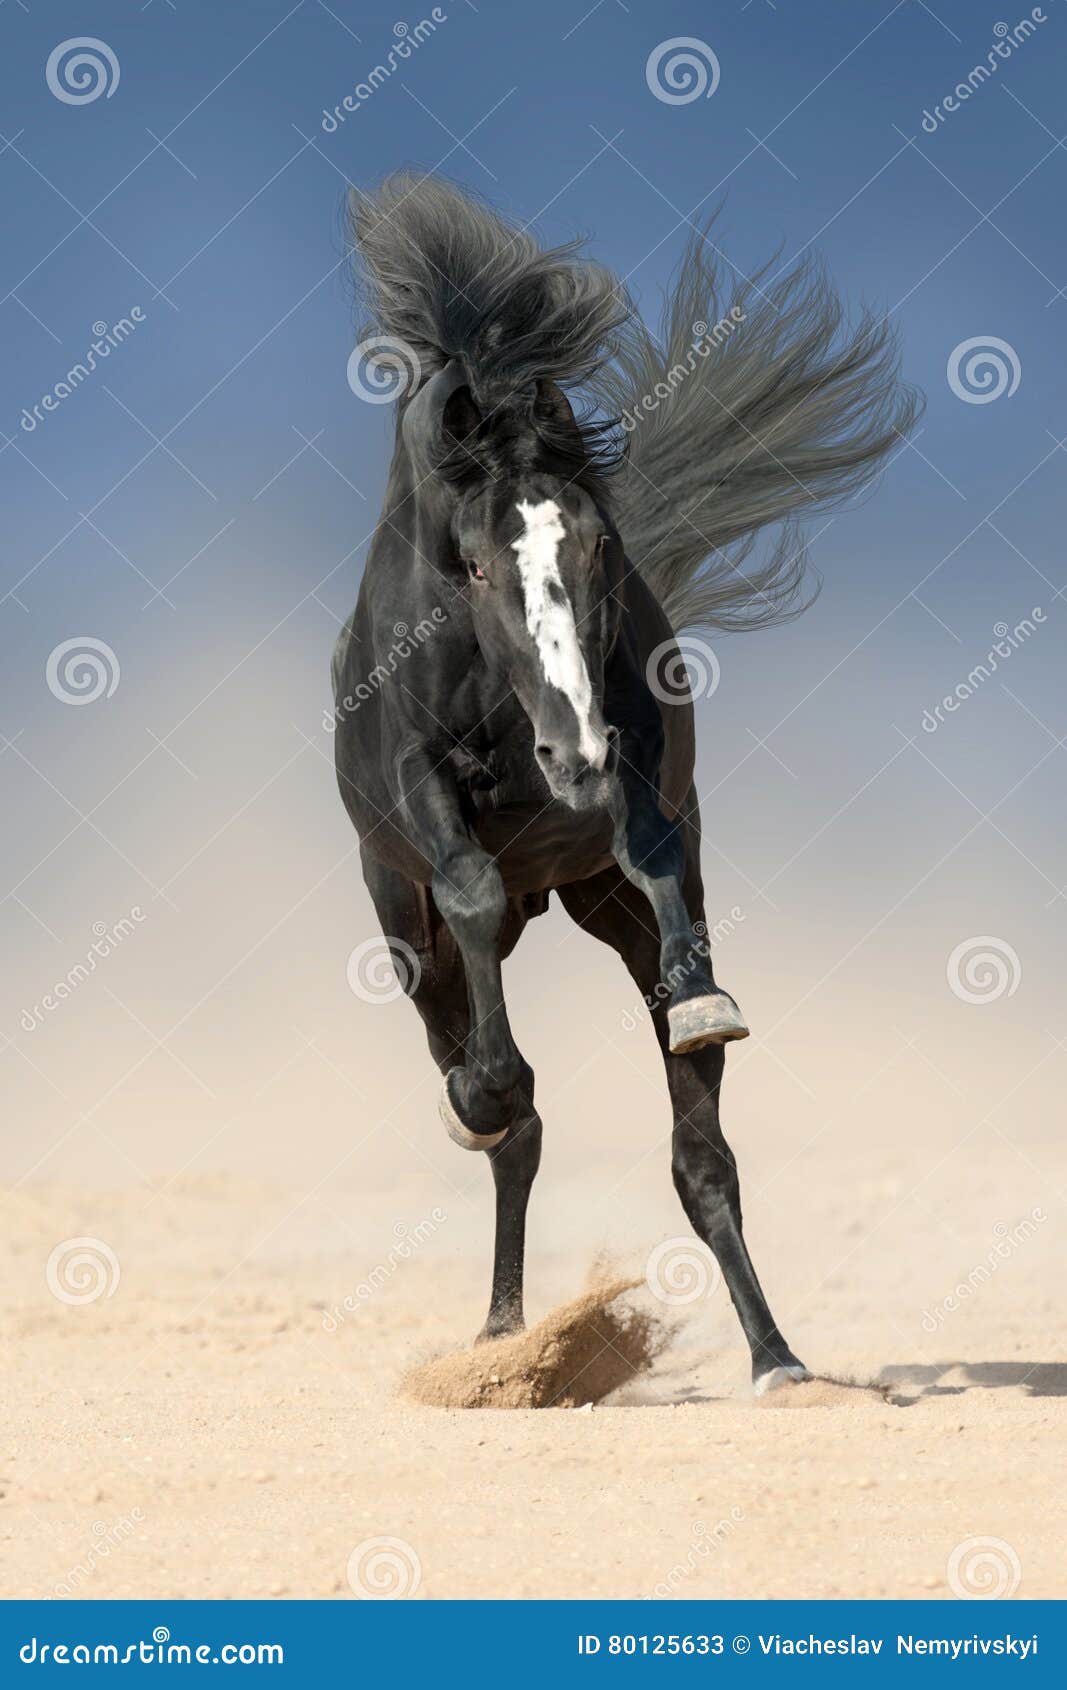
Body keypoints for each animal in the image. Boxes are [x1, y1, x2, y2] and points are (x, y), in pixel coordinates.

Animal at [333, 174, 918, 1394]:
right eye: (470, 564)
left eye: (598, 545)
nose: (571, 759)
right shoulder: (416, 795)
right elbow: (468, 896)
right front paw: (482, 1091)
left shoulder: (641, 756)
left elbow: (653, 850)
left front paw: (703, 1001)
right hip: (402, 926)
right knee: (505, 1111)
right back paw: (502, 1335)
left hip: (600, 903)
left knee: (700, 1158)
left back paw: (773, 1359)